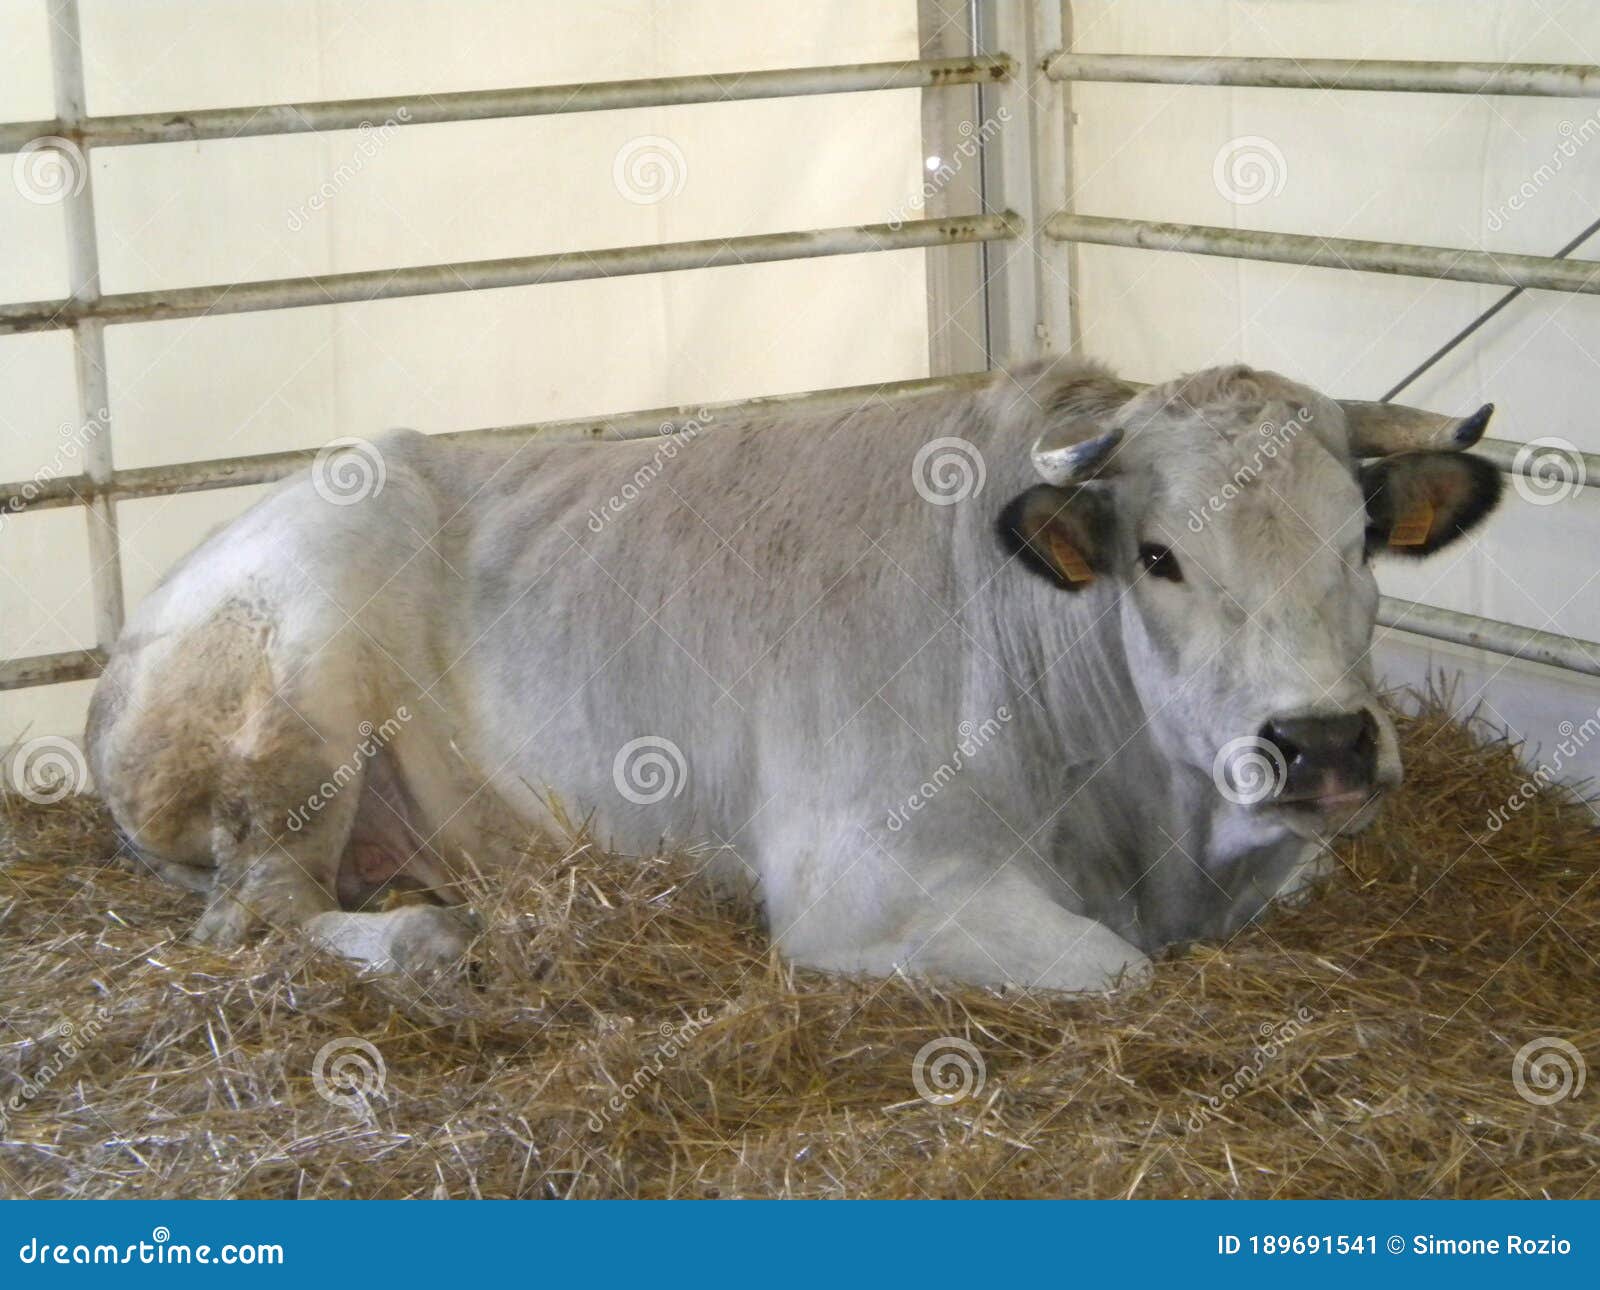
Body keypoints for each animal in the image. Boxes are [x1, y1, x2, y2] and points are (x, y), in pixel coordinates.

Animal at [86, 359, 1502, 992]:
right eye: (1158, 555)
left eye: (1359, 538)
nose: (1322, 742)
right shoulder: (864, 884)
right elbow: (1117, 972)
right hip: (298, 720)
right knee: (255, 913)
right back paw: (429, 936)